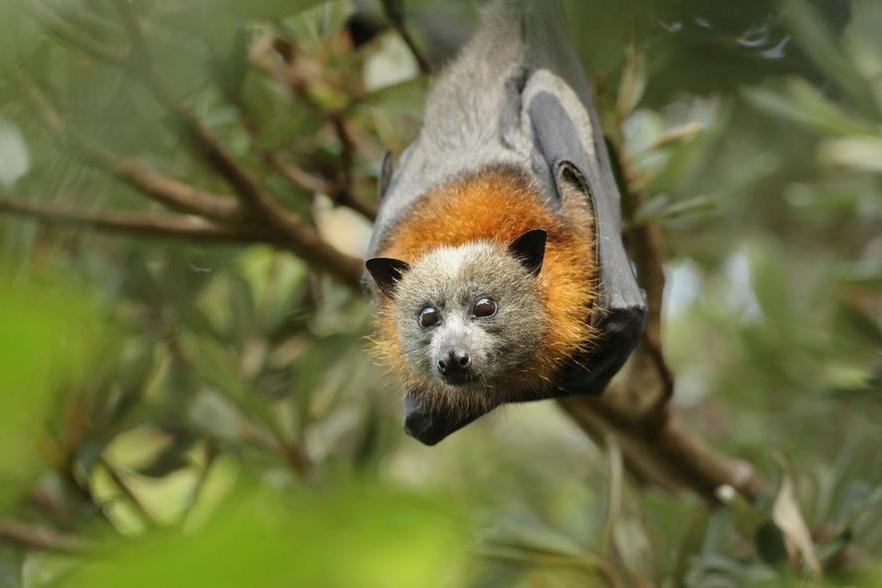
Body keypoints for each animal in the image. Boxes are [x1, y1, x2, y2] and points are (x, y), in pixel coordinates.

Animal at [364, 0, 647, 445]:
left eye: (485, 307)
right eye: (427, 316)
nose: (453, 357)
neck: (465, 229)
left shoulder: (613, 307)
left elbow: (620, 317)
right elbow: (423, 421)